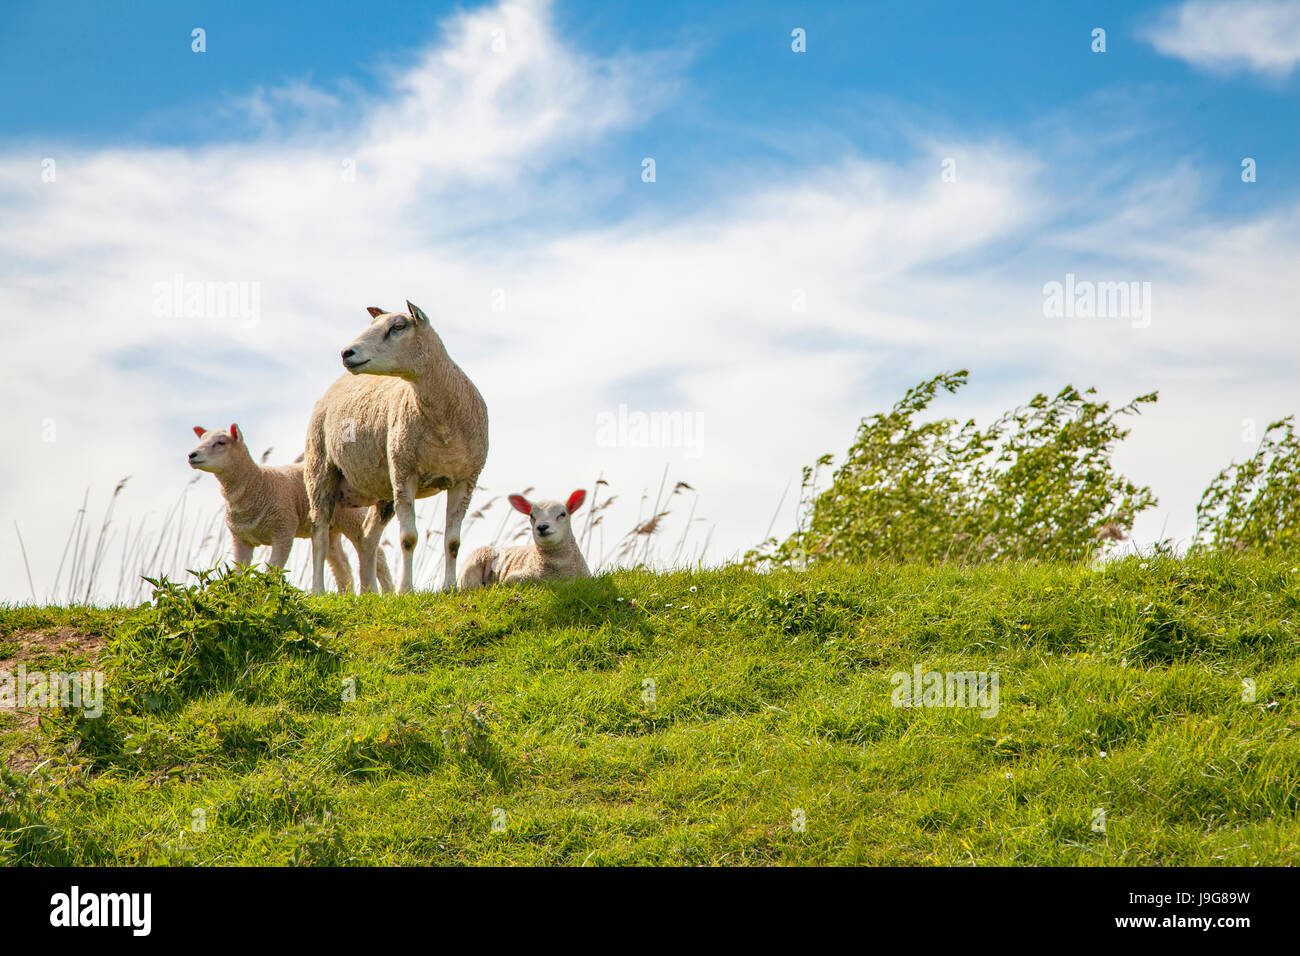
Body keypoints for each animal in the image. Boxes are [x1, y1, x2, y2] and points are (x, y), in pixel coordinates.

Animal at [188, 424, 394, 593]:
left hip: (354, 516)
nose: (191, 455)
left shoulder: (283, 529)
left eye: (221, 442)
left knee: (377, 554)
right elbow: (239, 573)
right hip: (331, 526)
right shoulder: (241, 538)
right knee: (341, 565)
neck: (257, 483)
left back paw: (387, 593)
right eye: (201, 440)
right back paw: (345, 597)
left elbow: (271, 570)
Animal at [305, 301, 488, 594]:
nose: (346, 353)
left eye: (398, 327)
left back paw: (369, 592)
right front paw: (405, 590)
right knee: (320, 532)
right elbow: (408, 539)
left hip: (382, 489)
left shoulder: (466, 479)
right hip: (320, 468)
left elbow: (453, 542)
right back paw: (319, 591)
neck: (443, 425)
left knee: (367, 537)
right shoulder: (405, 473)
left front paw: (449, 588)